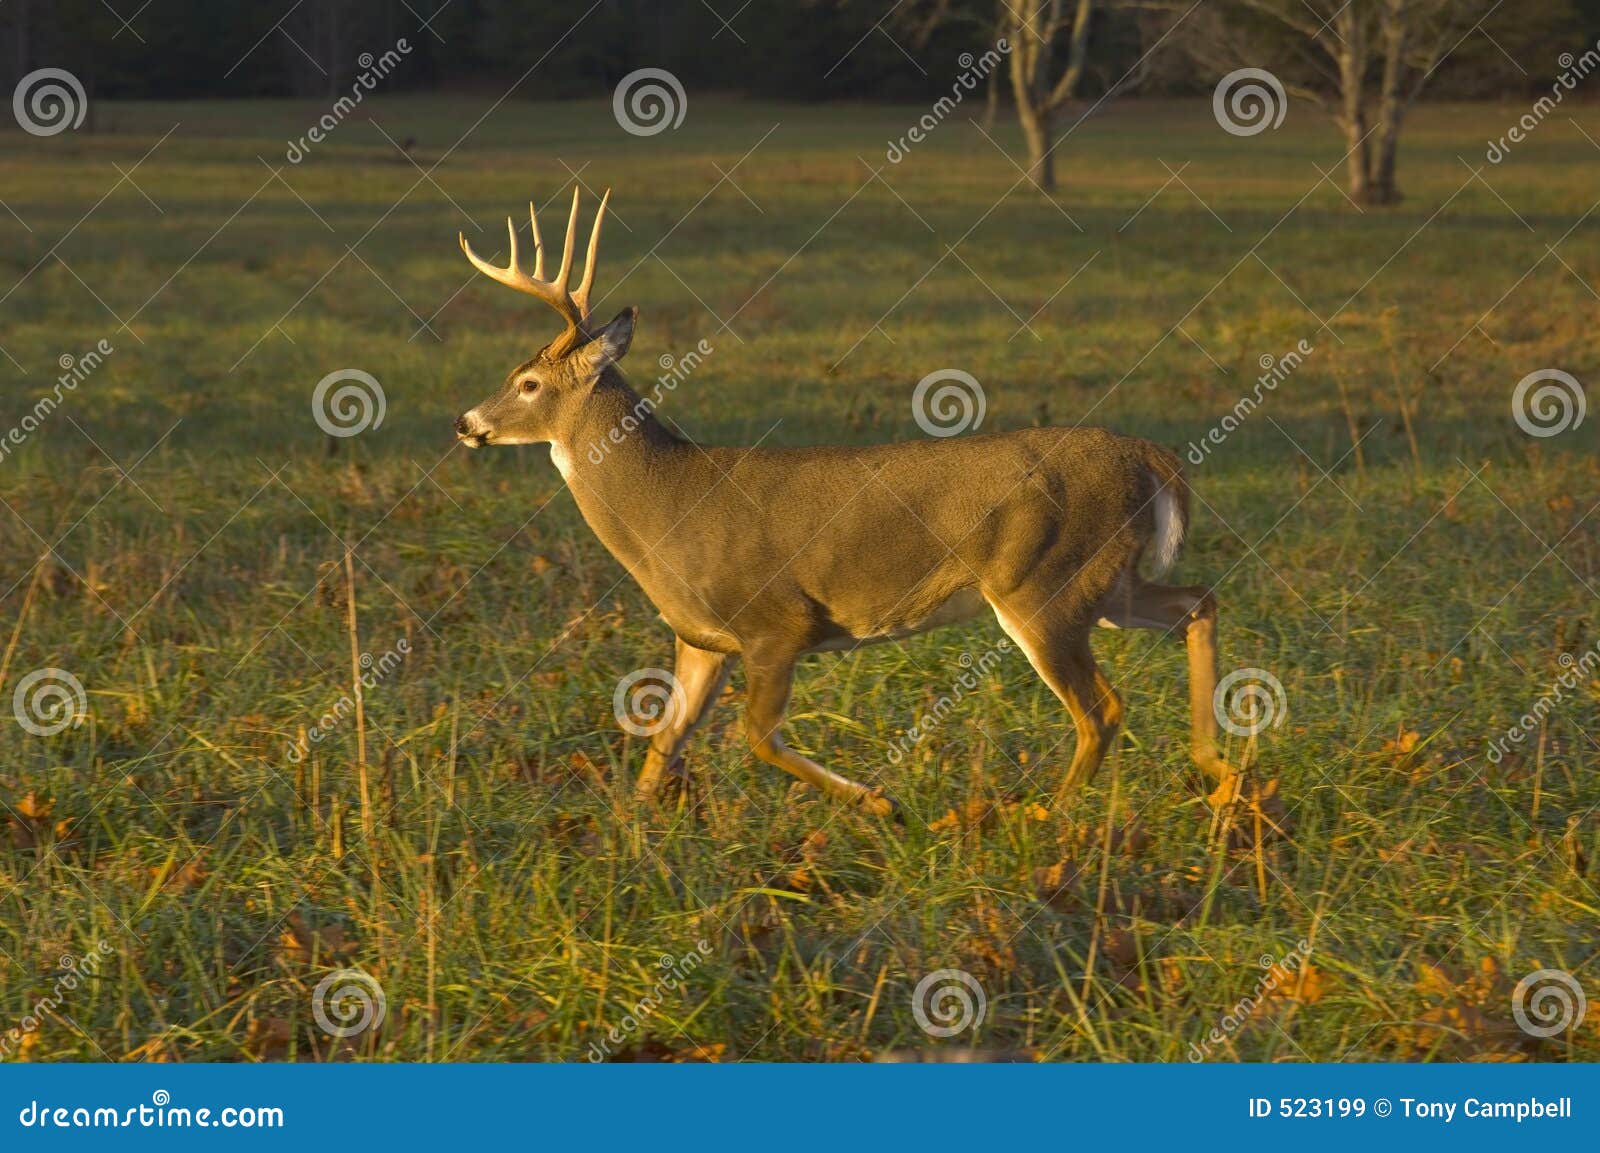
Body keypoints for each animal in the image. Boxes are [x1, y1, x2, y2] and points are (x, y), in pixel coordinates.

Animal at [453, 188, 1244, 821]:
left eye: (526, 383)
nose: (466, 423)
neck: (665, 507)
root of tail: (1150, 457)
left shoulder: (777, 621)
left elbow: (757, 736)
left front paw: (879, 800)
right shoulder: (701, 637)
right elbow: (666, 741)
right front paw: (629, 831)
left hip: (1042, 582)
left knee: (1101, 707)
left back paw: (1046, 814)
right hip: (1104, 580)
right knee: (1195, 602)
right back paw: (1219, 774)